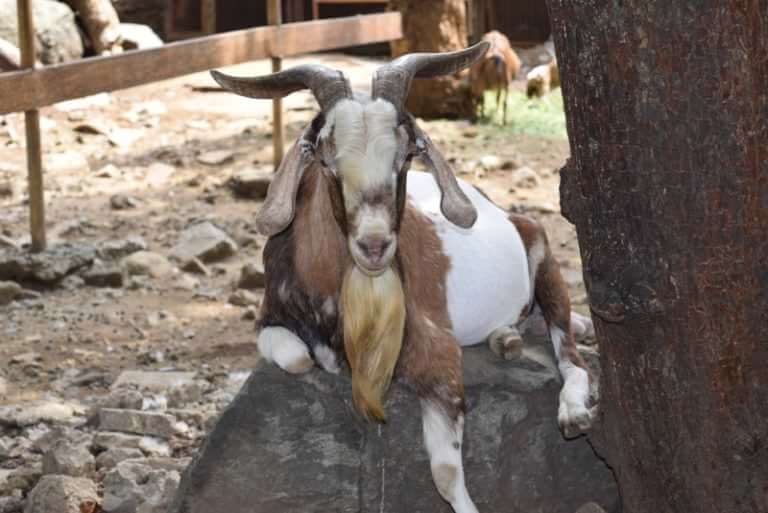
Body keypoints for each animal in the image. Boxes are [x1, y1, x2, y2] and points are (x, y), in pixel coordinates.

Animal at [211, 43, 595, 513]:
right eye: (325, 158)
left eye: (408, 155)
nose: (374, 246)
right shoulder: (270, 318)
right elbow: (297, 358)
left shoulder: (437, 353)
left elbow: (445, 473)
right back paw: (508, 337)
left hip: (545, 256)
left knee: (571, 356)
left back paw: (573, 409)